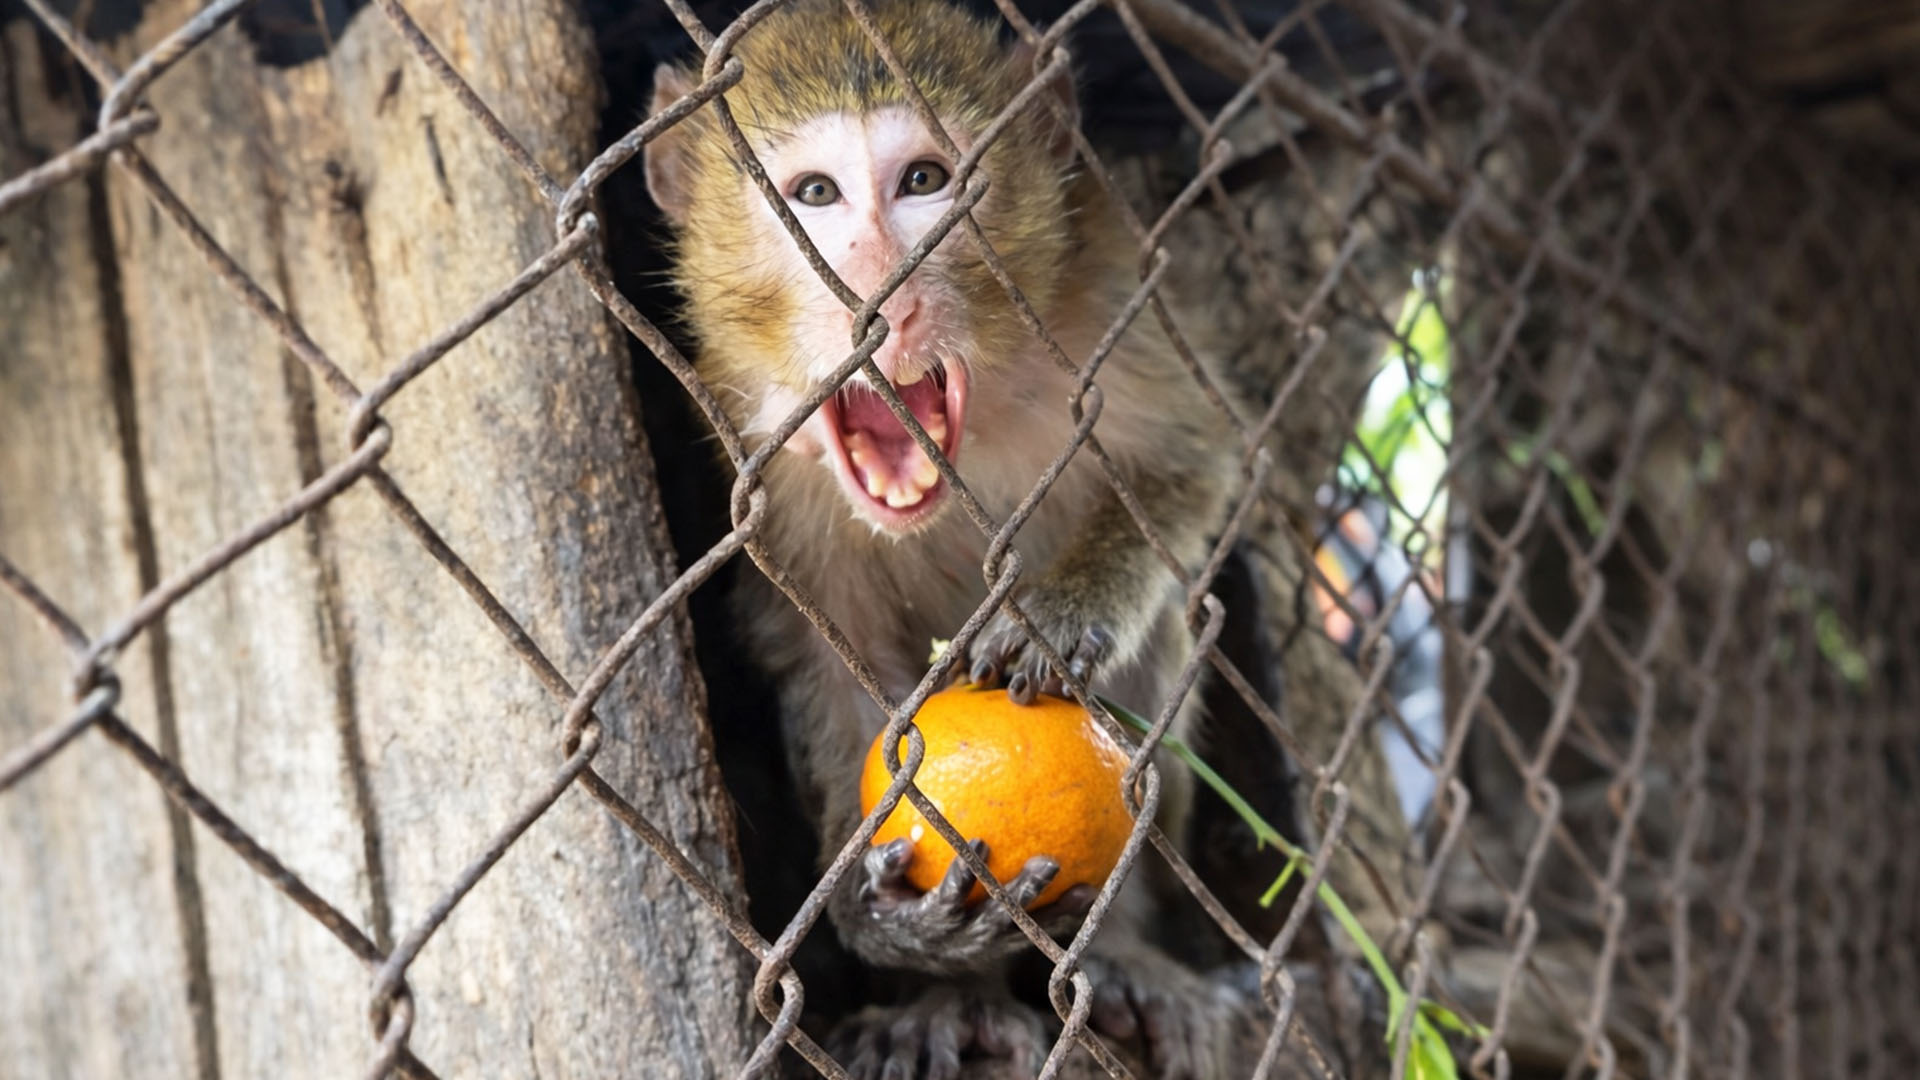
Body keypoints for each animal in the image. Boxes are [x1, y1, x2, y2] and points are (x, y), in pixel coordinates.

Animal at [645, 1, 1249, 1074]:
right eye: (814, 195)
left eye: (924, 182)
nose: (879, 302)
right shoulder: (767, 468)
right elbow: (829, 661)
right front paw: (882, 926)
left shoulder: (1105, 299)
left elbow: (1190, 467)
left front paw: (1063, 611)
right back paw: (948, 1004)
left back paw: (1129, 955)